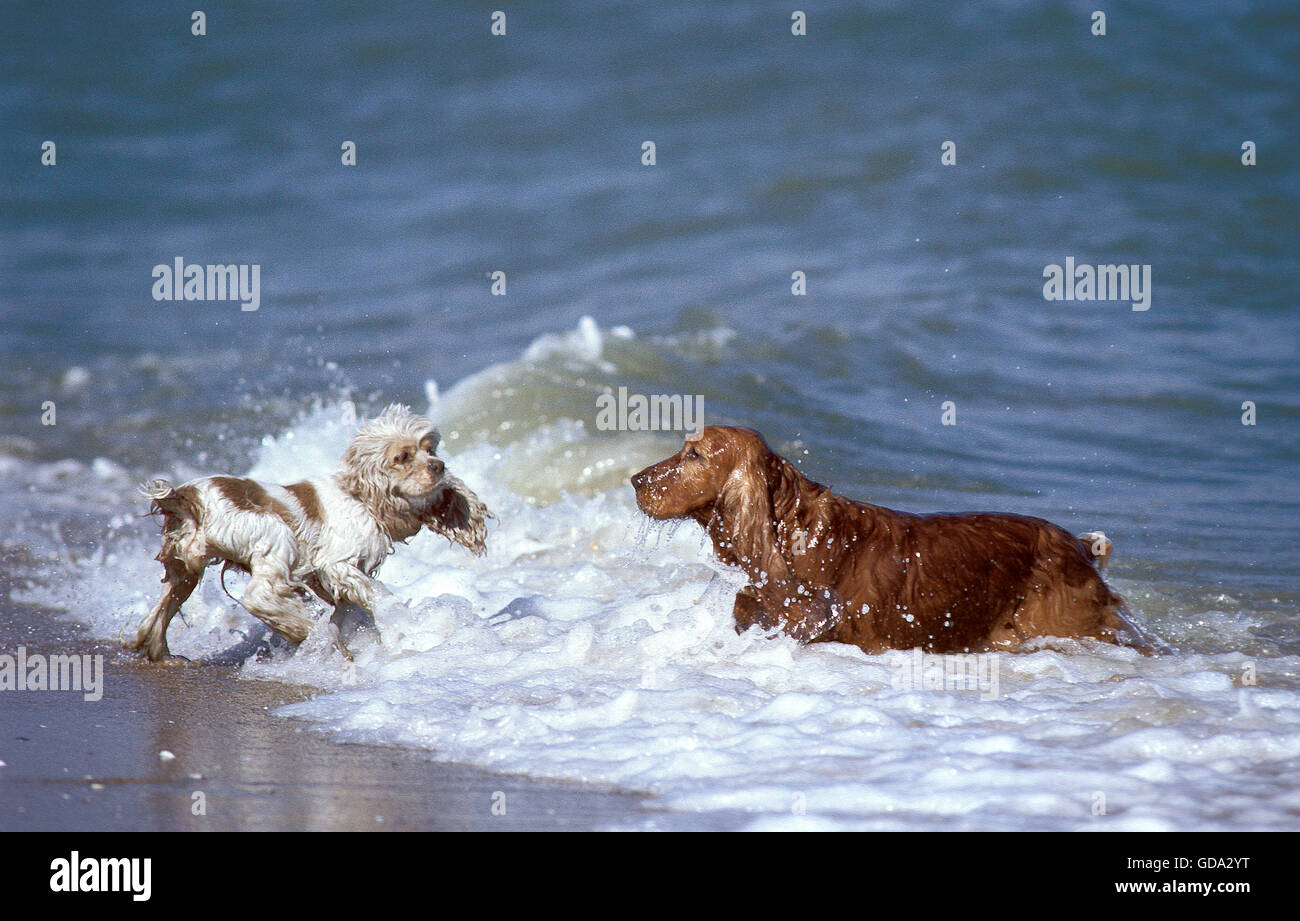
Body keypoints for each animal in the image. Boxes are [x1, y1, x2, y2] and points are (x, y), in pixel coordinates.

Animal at [129, 405, 488, 660]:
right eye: (402, 457)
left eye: (431, 449)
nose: (439, 466)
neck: (362, 496)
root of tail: (188, 495)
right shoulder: (336, 563)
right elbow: (376, 593)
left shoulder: (324, 576)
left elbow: (347, 604)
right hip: (275, 533)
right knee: (258, 596)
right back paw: (306, 631)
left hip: (184, 567)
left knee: (159, 611)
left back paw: (162, 653)